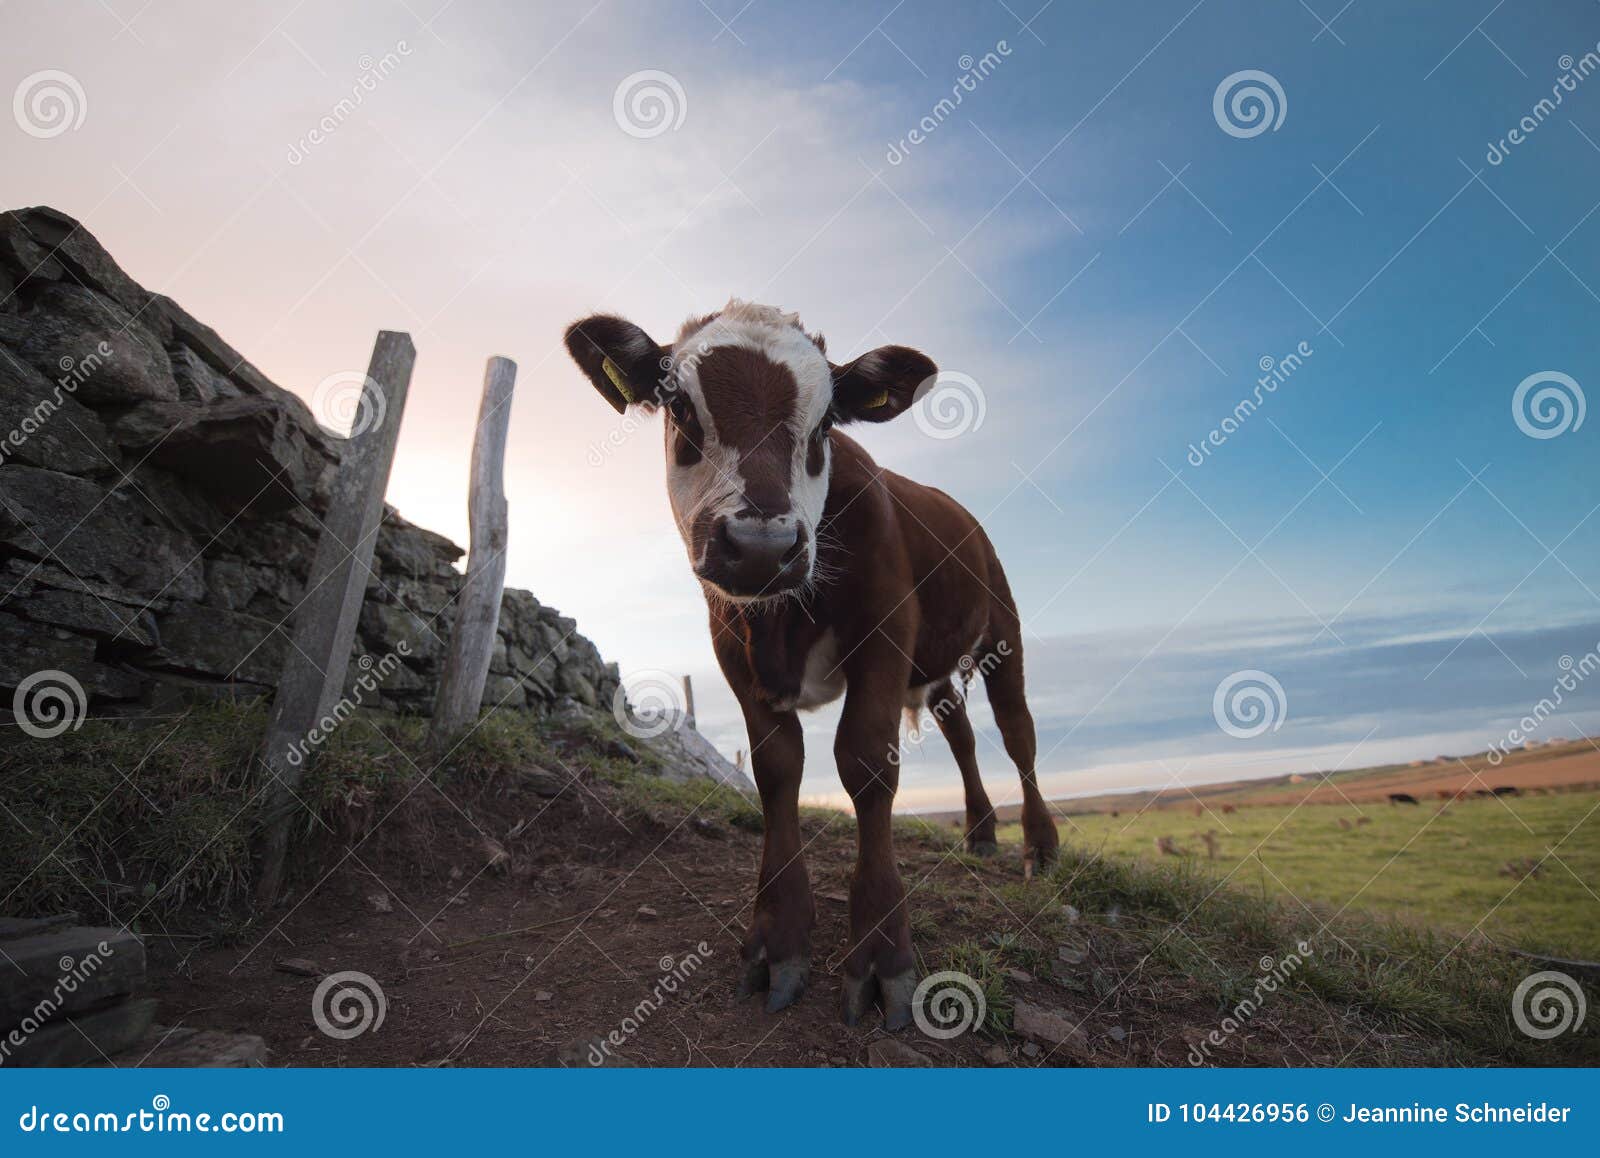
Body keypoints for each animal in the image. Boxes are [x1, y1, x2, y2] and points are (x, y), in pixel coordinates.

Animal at [564, 300, 1059, 1028]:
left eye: (826, 421)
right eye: (680, 404)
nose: (761, 546)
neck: (781, 622)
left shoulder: (886, 632)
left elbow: (866, 763)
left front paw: (881, 951)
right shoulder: (732, 649)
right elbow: (777, 769)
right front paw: (778, 939)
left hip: (1002, 628)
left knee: (1018, 730)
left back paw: (1038, 844)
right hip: (938, 668)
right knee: (963, 735)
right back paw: (979, 831)